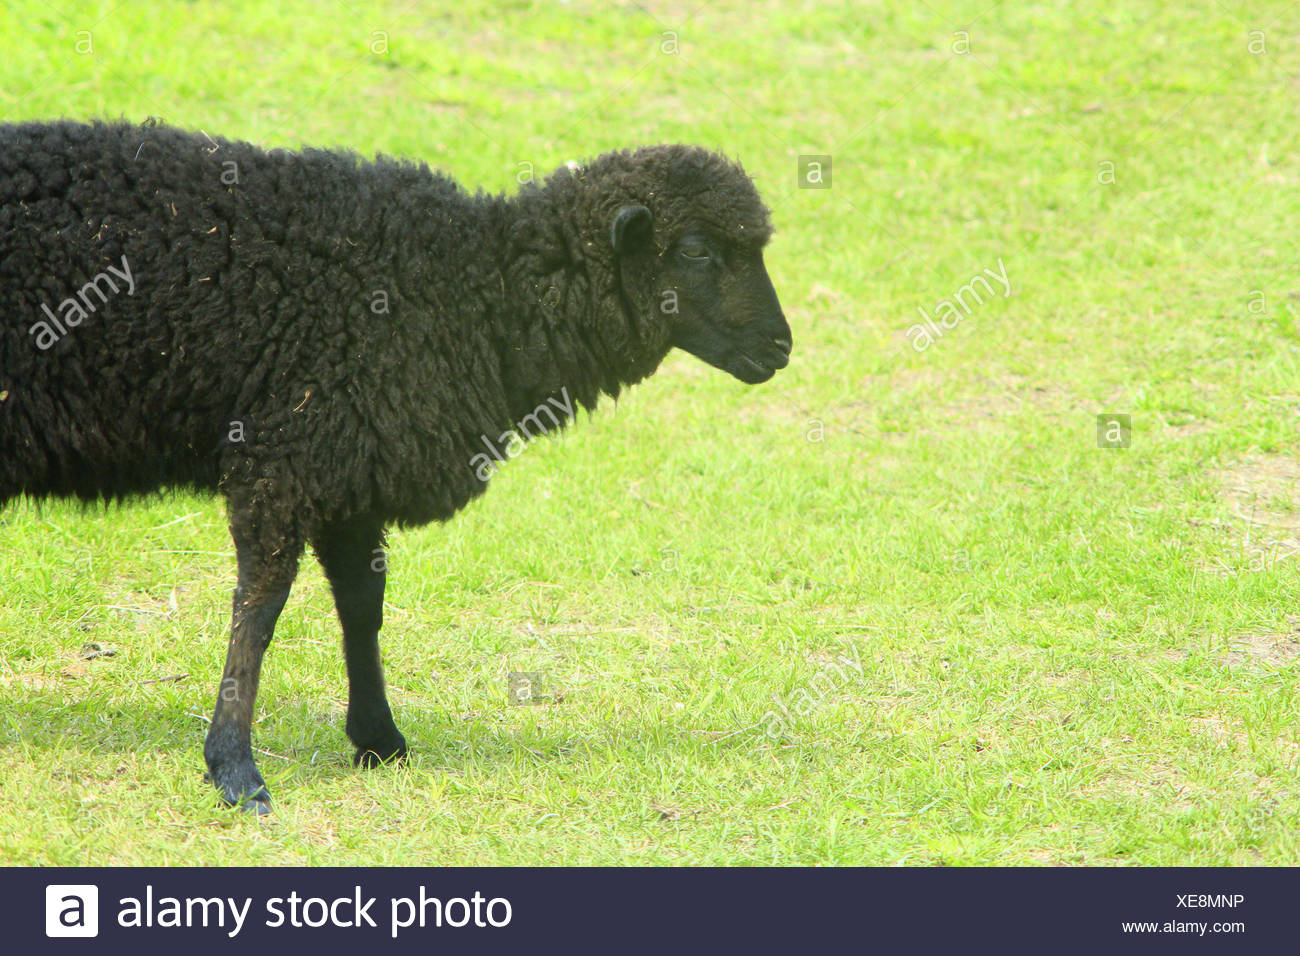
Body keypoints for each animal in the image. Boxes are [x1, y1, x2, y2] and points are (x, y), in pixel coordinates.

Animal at [0, 119, 792, 812]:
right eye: (696, 251)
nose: (782, 346)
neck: (477, 296)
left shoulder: (348, 465)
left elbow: (362, 606)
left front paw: (378, 739)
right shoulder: (282, 457)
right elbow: (259, 609)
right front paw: (234, 767)